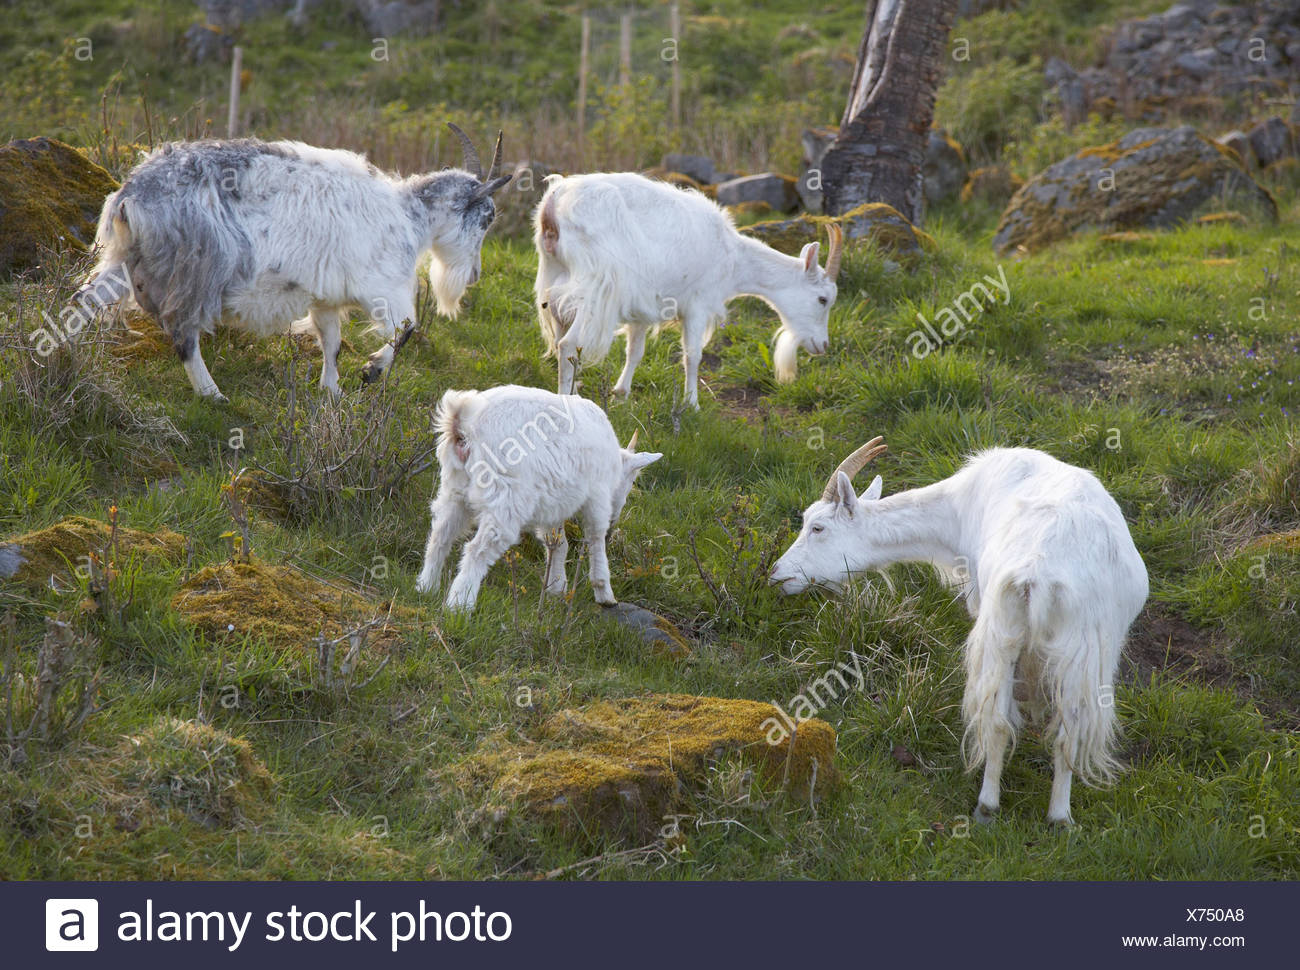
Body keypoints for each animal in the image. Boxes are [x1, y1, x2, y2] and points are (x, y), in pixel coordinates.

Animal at [72, 123, 511, 401]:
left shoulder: (327, 297)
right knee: (183, 332)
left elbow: (332, 342)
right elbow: (405, 329)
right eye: (487, 217)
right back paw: (212, 394)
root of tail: (131, 196)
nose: (475, 275)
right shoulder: (382, 286)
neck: (410, 216)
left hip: (123, 261)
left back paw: (69, 360)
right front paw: (370, 372)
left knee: (83, 301)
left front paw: (332, 390)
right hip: (195, 270)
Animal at [415, 384, 662, 613]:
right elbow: (595, 537)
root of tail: (463, 422)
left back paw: (426, 587)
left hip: (455, 487)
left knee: (440, 535)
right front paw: (604, 592)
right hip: (506, 495)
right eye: (631, 482)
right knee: (477, 549)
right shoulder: (597, 497)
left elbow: (558, 543)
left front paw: (556, 588)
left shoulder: (554, 504)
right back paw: (459, 606)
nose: (615, 520)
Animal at [533, 172, 843, 409]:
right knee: (568, 345)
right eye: (823, 299)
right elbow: (693, 355)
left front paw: (621, 393)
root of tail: (554, 204)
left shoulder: (643, 306)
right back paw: (567, 401)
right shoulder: (698, 304)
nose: (823, 345)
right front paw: (691, 404)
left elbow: (635, 350)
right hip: (598, 290)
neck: (732, 256)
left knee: (560, 335)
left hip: (556, 283)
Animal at [769, 439, 1148, 825]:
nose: (777, 574)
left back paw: (990, 805)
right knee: (1063, 728)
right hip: (1079, 646)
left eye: (817, 527)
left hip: (1005, 627)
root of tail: (1039, 573)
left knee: (1000, 719)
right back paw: (1055, 816)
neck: (958, 508)